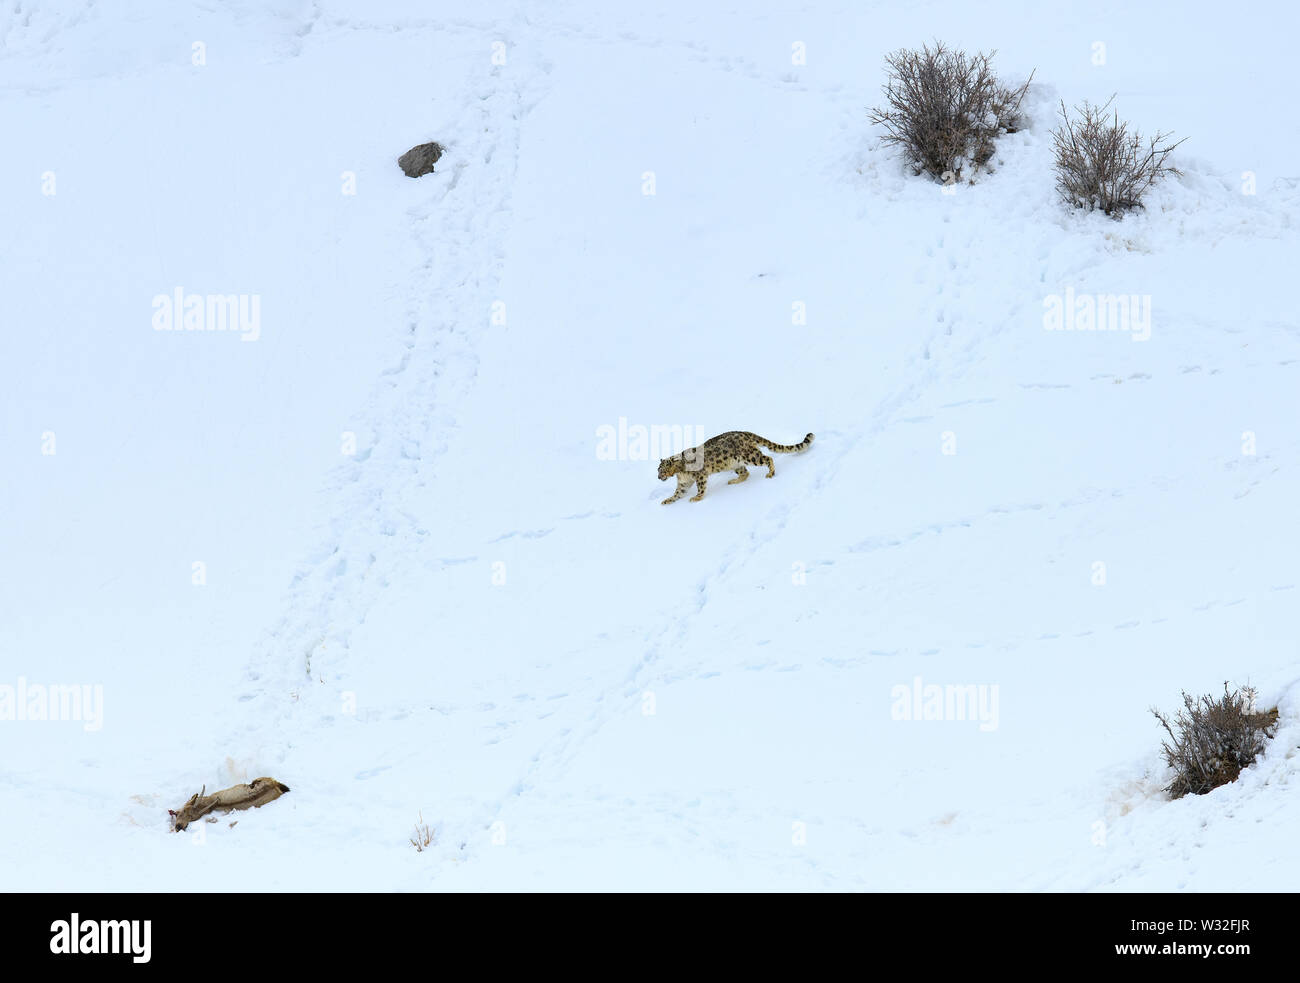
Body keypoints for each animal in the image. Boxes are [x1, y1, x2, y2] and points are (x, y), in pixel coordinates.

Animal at [658, 431, 814, 504]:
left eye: (661, 470)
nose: (659, 477)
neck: (680, 473)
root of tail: (745, 433)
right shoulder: (683, 483)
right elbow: (678, 493)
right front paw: (667, 500)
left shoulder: (700, 475)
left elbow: (701, 488)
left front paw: (696, 498)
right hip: (735, 463)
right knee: (745, 473)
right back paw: (733, 481)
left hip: (750, 456)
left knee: (767, 458)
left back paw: (771, 473)